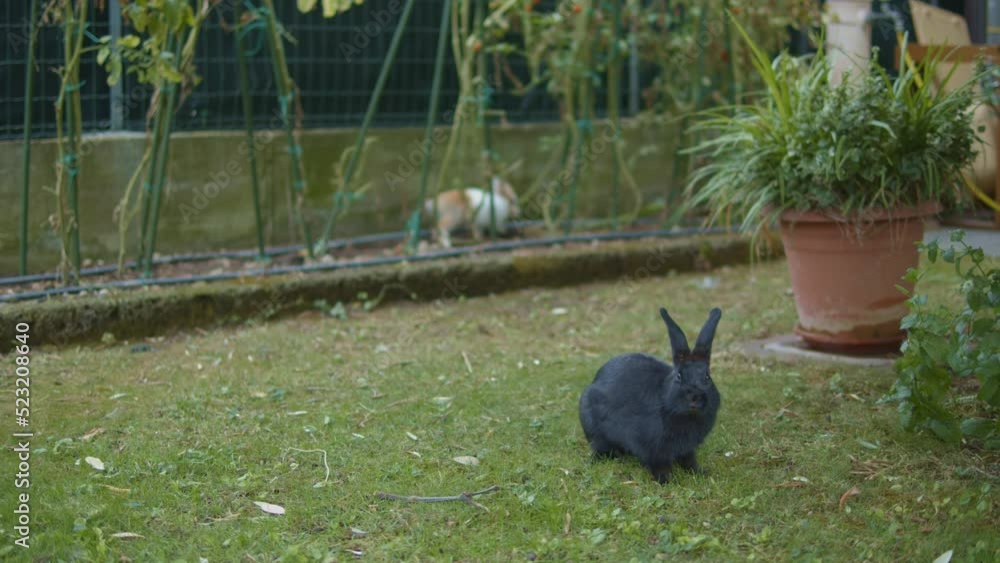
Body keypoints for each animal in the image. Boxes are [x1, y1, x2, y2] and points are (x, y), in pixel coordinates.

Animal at [578, 306, 722, 484]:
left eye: (707, 377)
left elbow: (689, 461)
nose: (694, 396)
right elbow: (658, 464)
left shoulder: (687, 449)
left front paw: (700, 472)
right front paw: (665, 480)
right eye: (679, 376)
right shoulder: (651, 448)